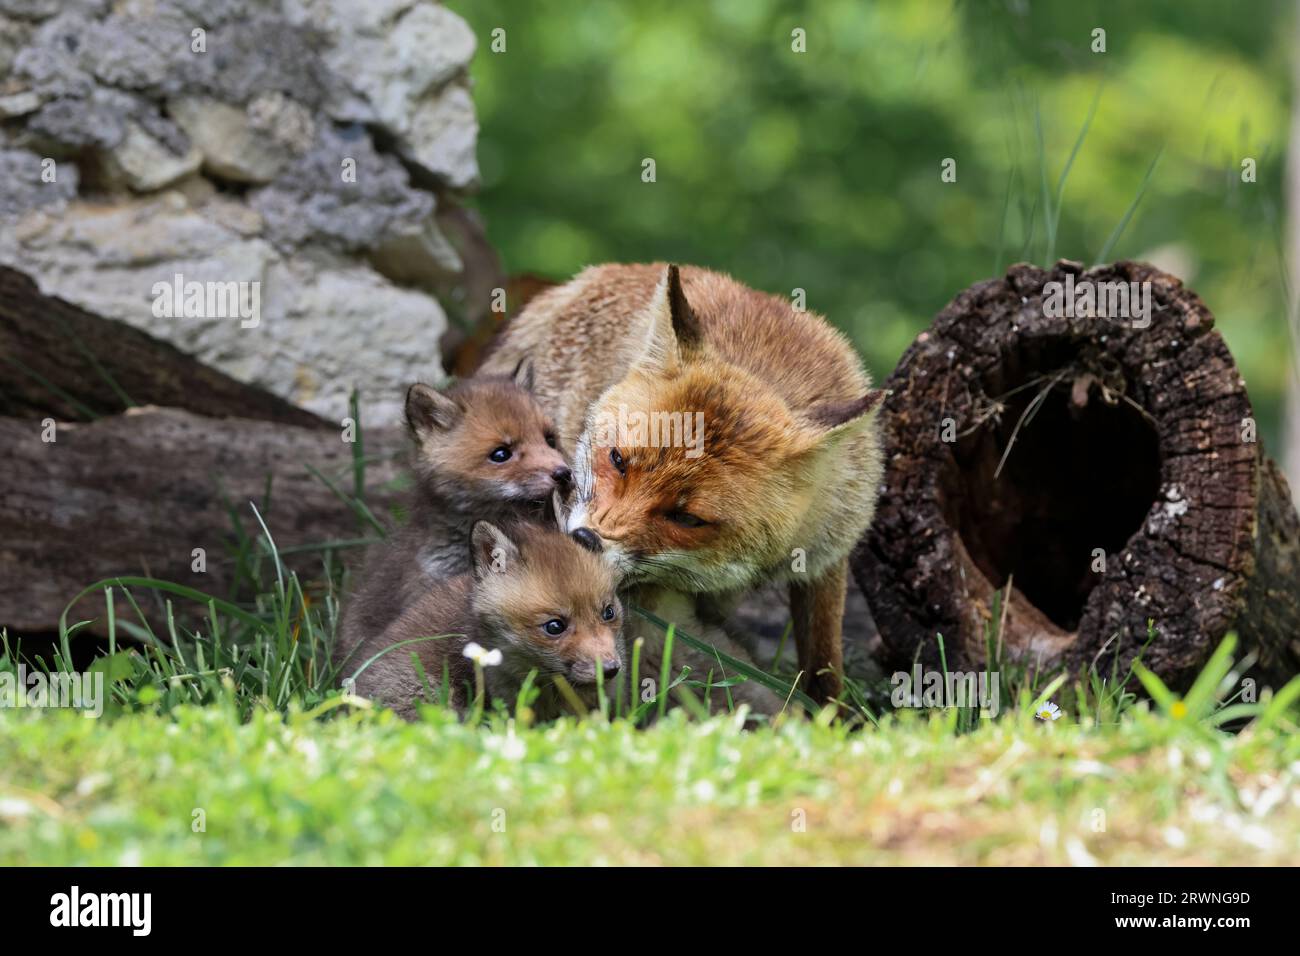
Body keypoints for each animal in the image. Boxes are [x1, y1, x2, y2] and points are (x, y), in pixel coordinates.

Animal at [479, 263, 884, 704]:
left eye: (687, 518)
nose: (584, 540)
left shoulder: (827, 555)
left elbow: (824, 663)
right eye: (618, 460)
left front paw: (832, 713)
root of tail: (591, 276)